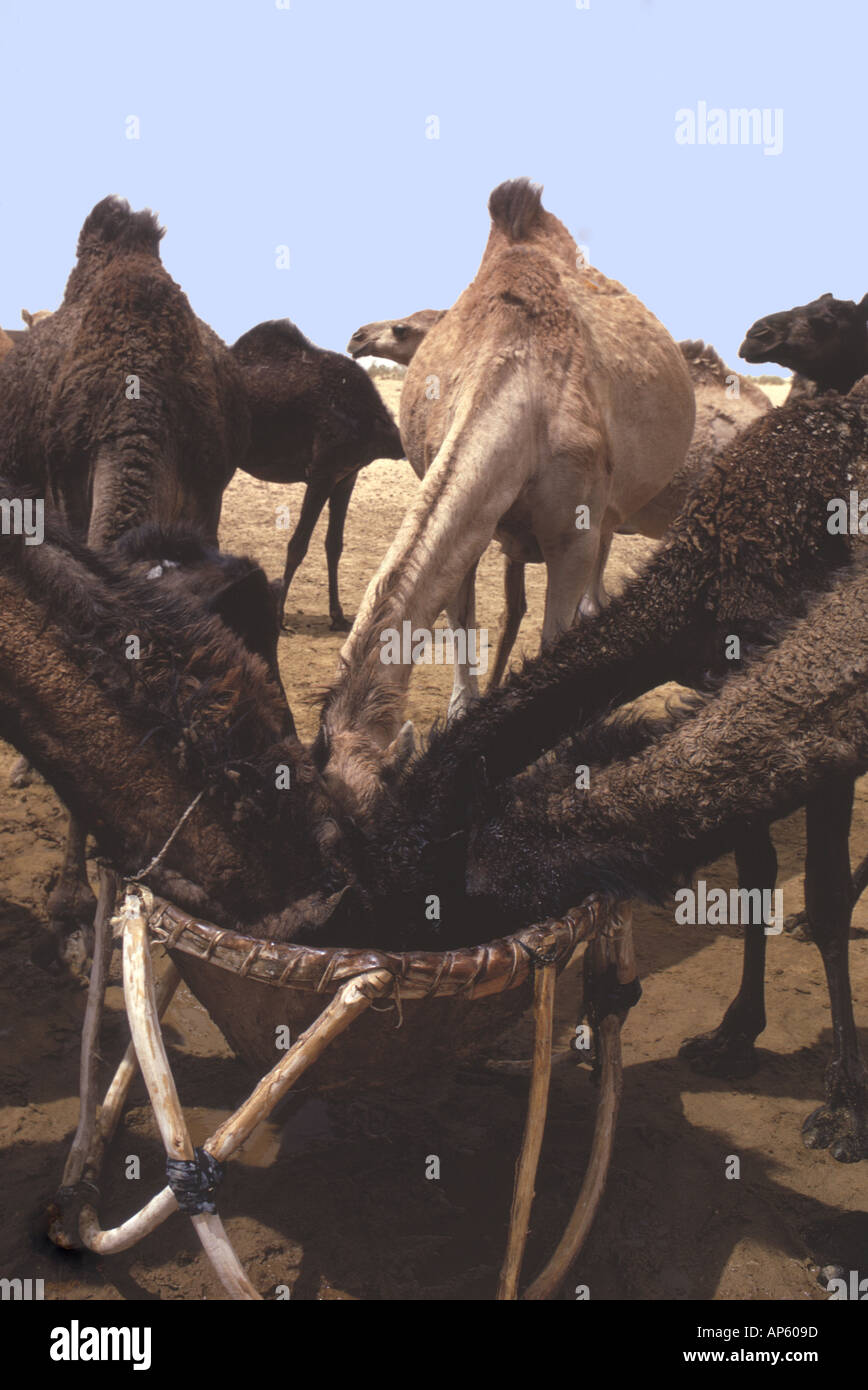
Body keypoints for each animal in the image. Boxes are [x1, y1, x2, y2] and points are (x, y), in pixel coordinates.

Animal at [232, 320, 404, 630]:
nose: (357, 338)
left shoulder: (346, 476)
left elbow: (334, 544)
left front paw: (338, 616)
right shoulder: (322, 472)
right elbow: (298, 544)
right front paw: (279, 616)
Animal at [318, 179, 696, 819]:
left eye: (375, 818)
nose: (356, 335)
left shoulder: (575, 530)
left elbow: (558, 644)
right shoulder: (476, 523)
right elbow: (464, 634)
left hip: (612, 510)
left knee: (594, 595)